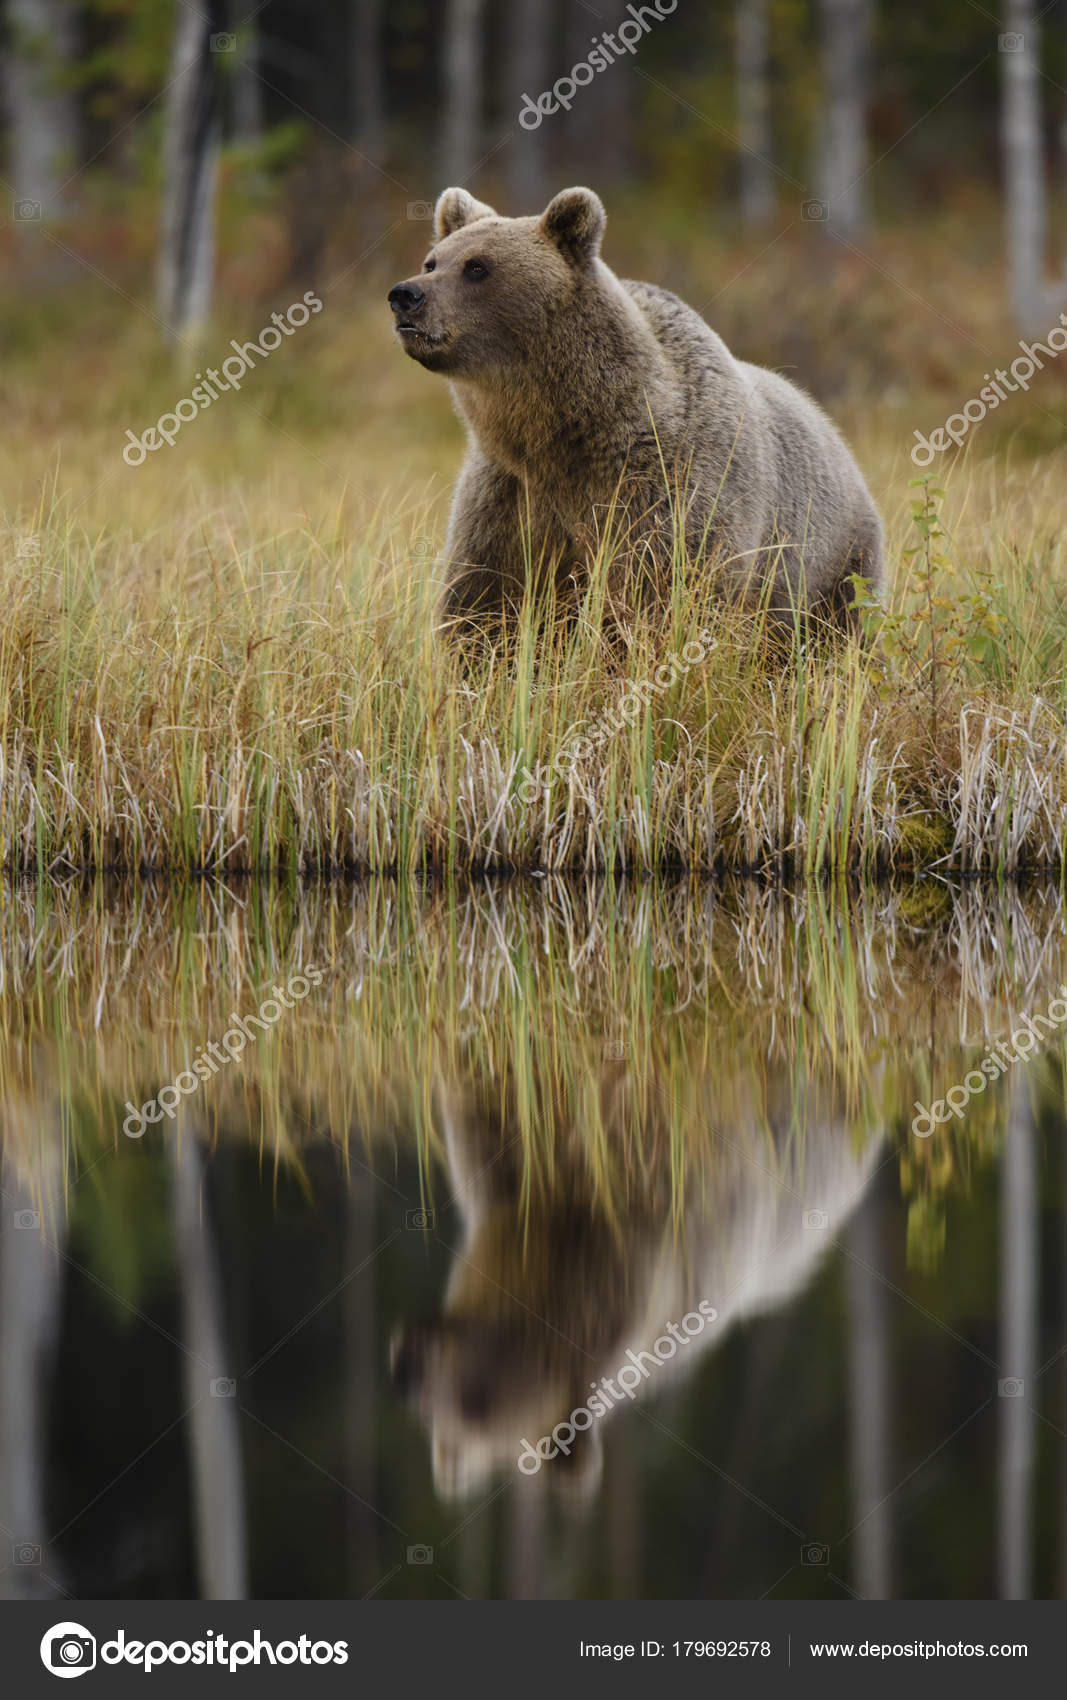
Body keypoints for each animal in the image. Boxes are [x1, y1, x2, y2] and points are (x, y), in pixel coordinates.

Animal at [388, 185, 885, 636]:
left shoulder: (667, 492)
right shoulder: (507, 497)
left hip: (834, 562)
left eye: (477, 267)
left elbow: (664, 598)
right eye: (433, 262)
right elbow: (483, 605)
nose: (405, 295)